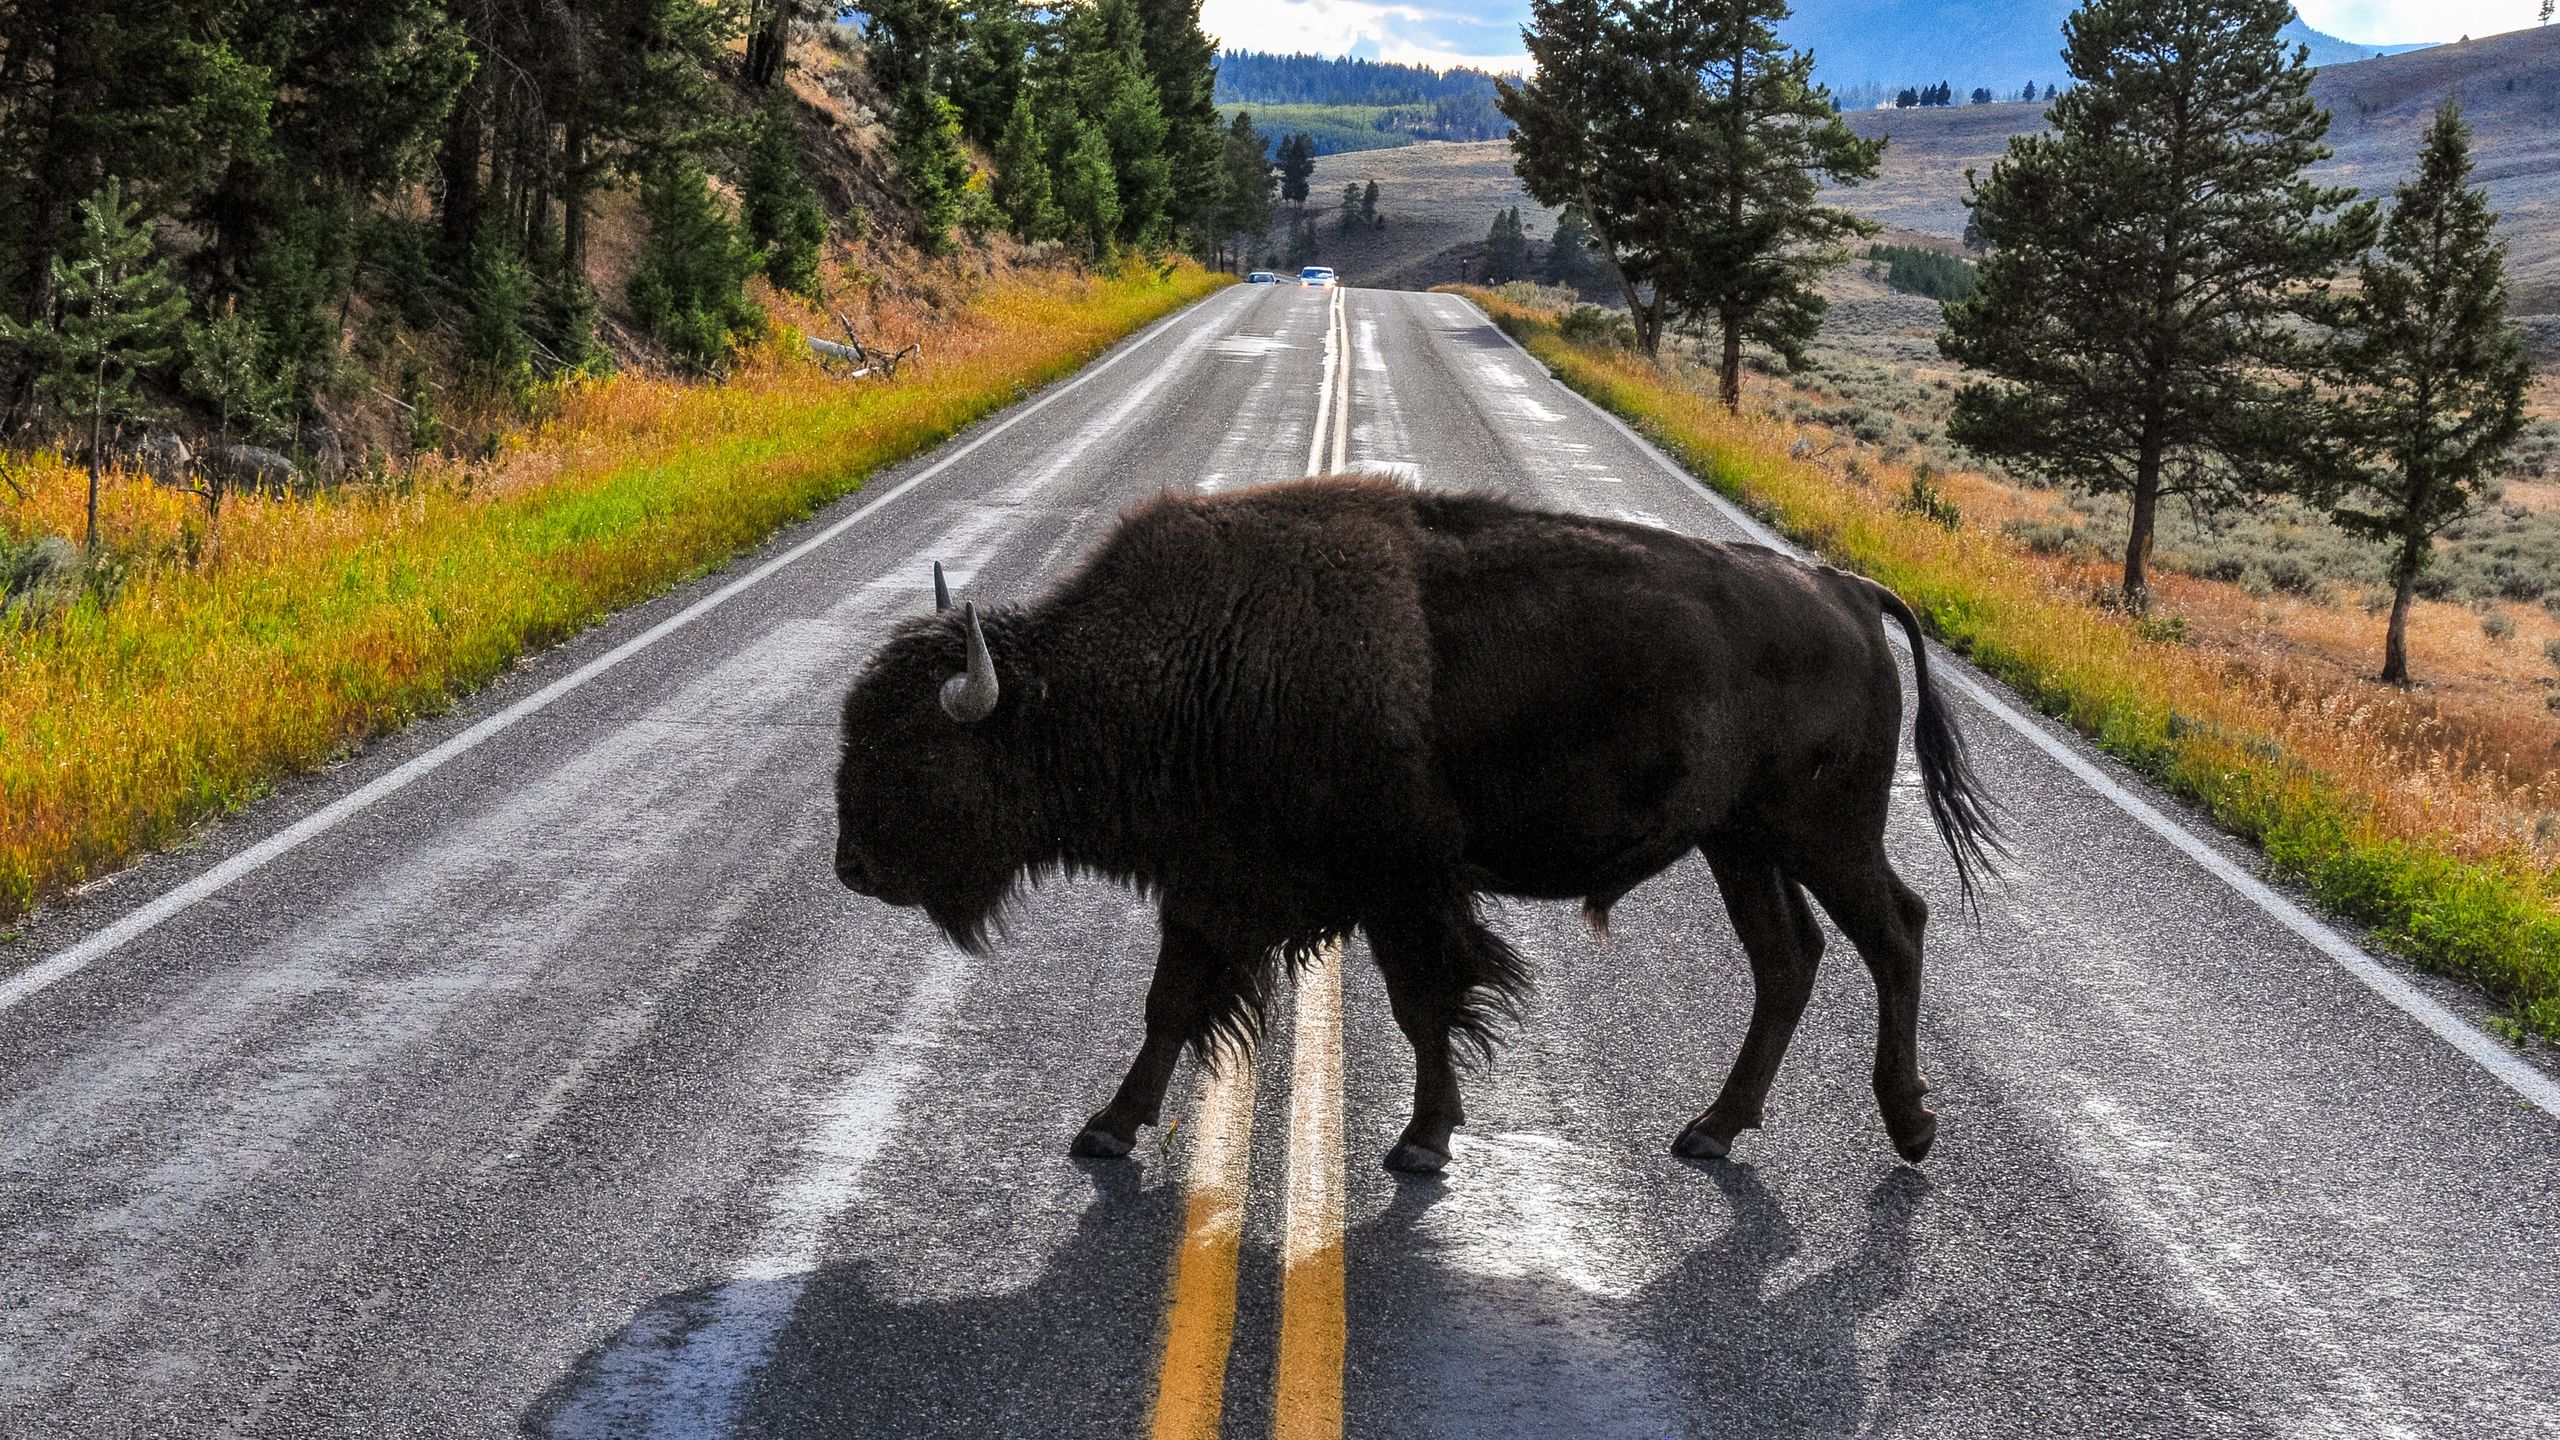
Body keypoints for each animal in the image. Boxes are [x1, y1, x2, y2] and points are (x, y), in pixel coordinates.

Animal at [834, 476, 1997, 1173]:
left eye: (912, 750)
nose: (852, 867)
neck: (1202, 653)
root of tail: (1847, 590)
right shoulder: (1211, 886)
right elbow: (1168, 1006)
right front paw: (1107, 1130)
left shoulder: (1398, 889)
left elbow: (1423, 1005)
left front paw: (1421, 1143)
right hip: (1741, 845)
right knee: (1787, 959)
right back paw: (1710, 1131)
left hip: (1823, 834)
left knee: (1894, 930)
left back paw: (1910, 1125)